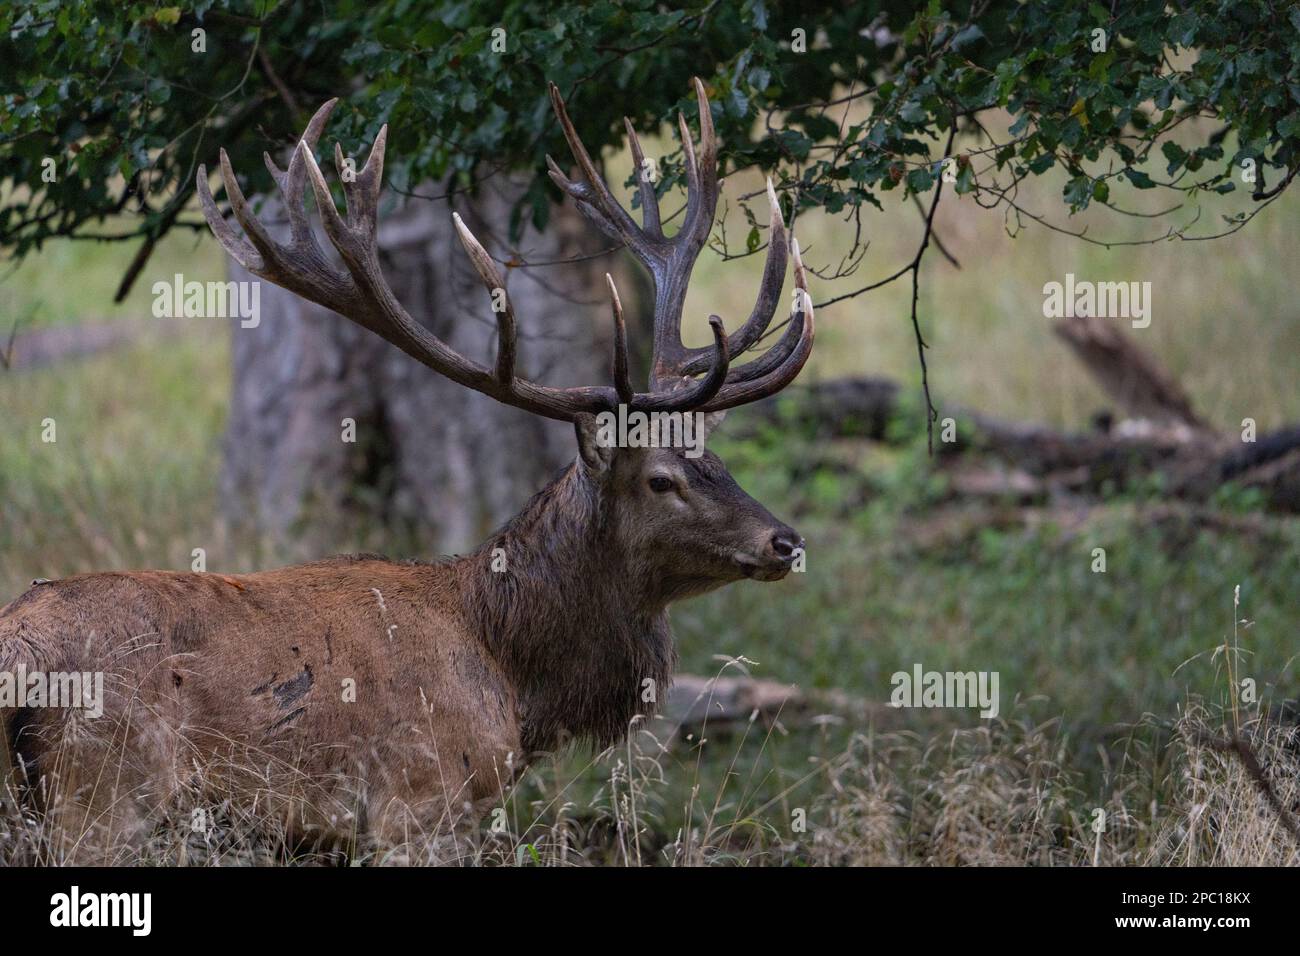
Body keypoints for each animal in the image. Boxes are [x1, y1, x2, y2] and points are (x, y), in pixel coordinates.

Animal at [0, 79, 814, 863]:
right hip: (104, 800)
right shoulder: (419, 803)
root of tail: (22, 652)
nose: (785, 541)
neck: (512, 679)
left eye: (716, 460)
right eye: (661, 479)